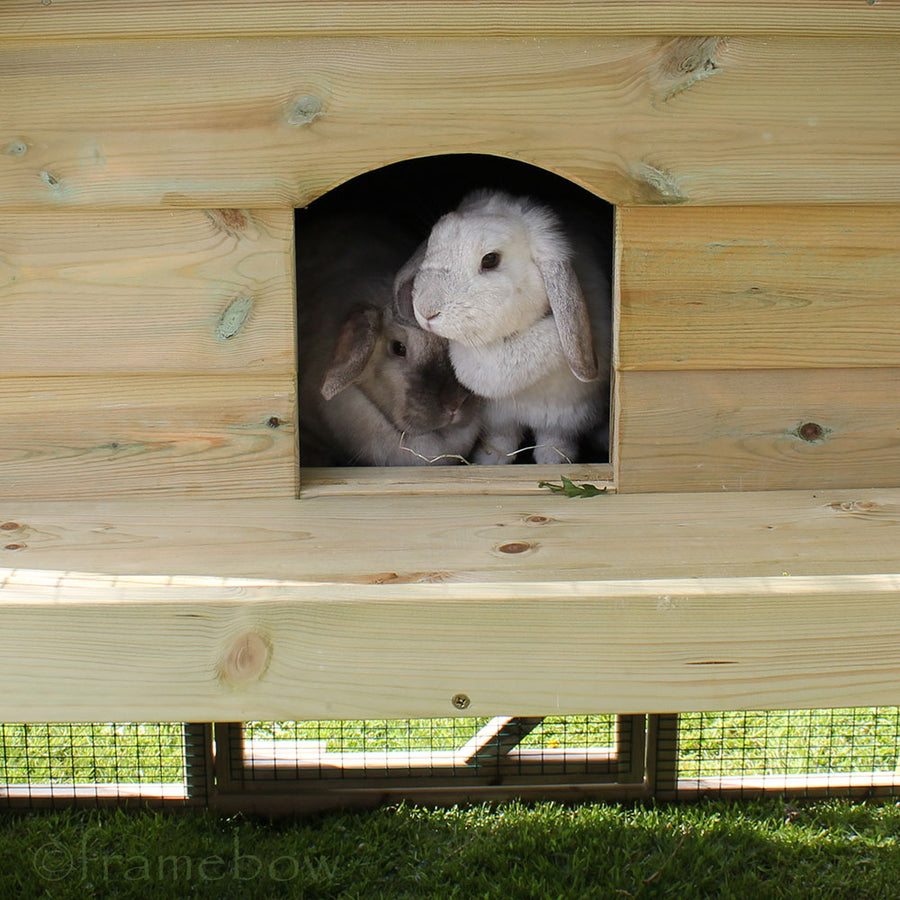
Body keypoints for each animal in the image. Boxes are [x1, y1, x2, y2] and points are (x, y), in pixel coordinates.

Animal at [397, 189, 611, 465]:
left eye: (490, 259)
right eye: (432, 242)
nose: (425, 311)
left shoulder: (564, 417)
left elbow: (554, 444)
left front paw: (552, 464)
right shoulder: (499, 418)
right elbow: (502, 441)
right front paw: (488, 462)